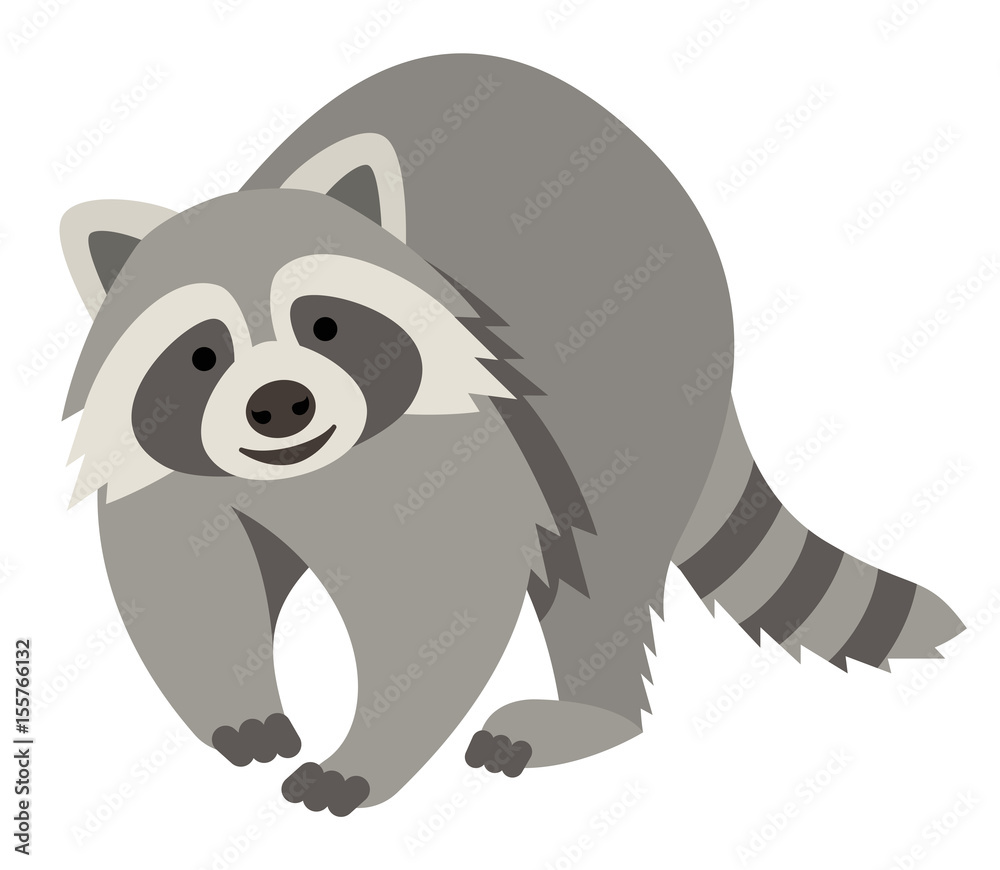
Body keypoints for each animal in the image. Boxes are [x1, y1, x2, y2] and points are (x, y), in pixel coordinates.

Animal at [62, 54, 964, 816]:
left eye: (324, 326)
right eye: (203, 356)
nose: (281, 405)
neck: (307, 474)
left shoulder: (458, 451)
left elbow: (433, 612)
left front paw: (366, 757)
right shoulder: (168, 474)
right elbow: (188, 580)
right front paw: (240, 710)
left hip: (637, 381)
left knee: (600, 550)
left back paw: (588, 713)